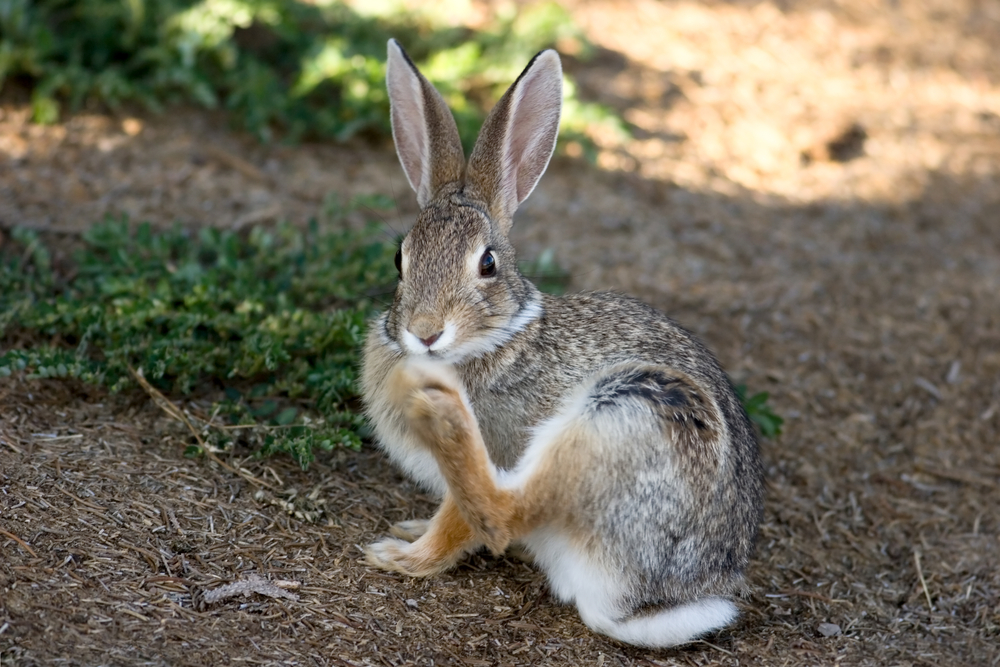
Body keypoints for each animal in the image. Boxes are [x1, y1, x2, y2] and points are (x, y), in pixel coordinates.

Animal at [360, 39, 765, 648]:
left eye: (487, 264)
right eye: (398, 260)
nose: (425, 332)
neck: (497, 338)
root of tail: (628, 605)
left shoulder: (504, 444)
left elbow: (462, 522)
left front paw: (406, 557)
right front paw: (411, 528)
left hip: (627, 415)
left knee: (506, 512)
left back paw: (441, 416)